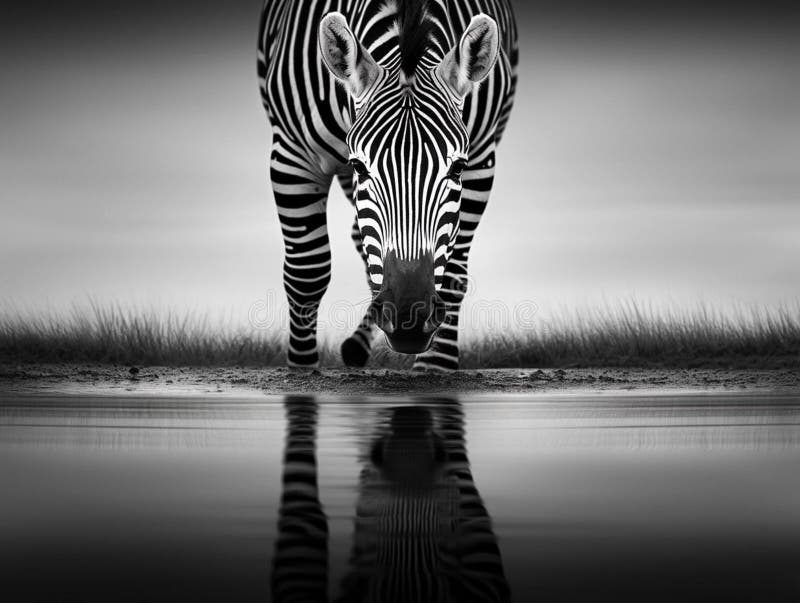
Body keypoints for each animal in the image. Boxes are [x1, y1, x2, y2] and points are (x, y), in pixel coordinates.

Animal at [258, 0, 518, 370]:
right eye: (359, 165)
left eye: (457, 168)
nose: (409, 318)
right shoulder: (293, 155)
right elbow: (307, 274)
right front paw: (301, 370)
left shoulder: (481, 154)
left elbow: (453, 274)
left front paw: (436, 370)